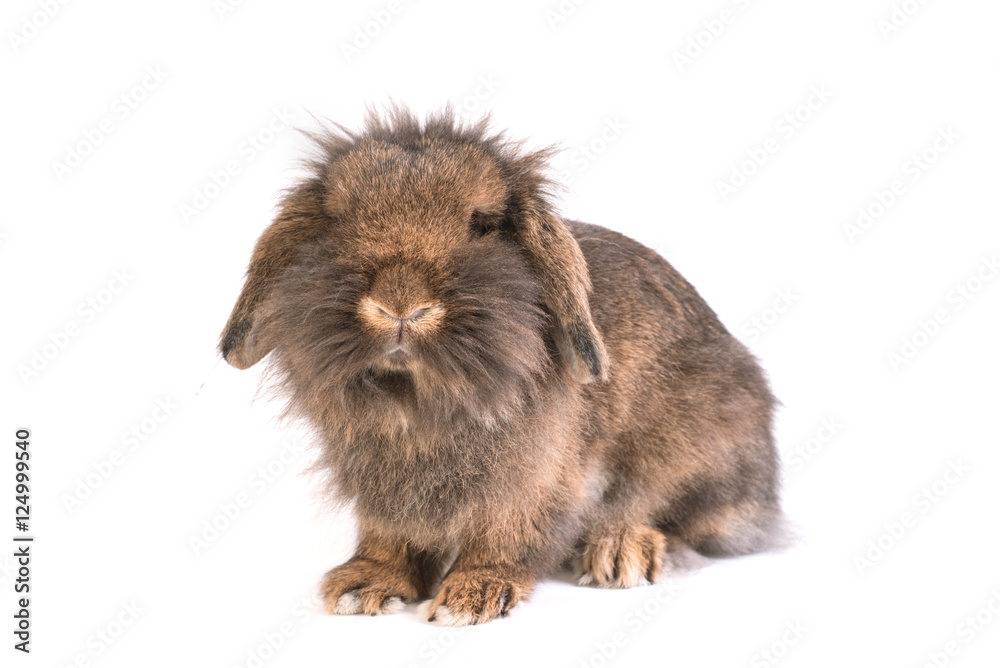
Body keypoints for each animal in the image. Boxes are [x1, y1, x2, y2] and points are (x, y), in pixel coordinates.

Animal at [219, 106, 782, 626]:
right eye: (337, 223)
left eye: (483, 225)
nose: (400, 306)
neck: (416, 400)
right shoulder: (384, 492)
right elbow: (389, 537)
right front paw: (364, 586)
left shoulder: (531, 477)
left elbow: (503, 533)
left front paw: (473, 596)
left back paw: (620, 553)